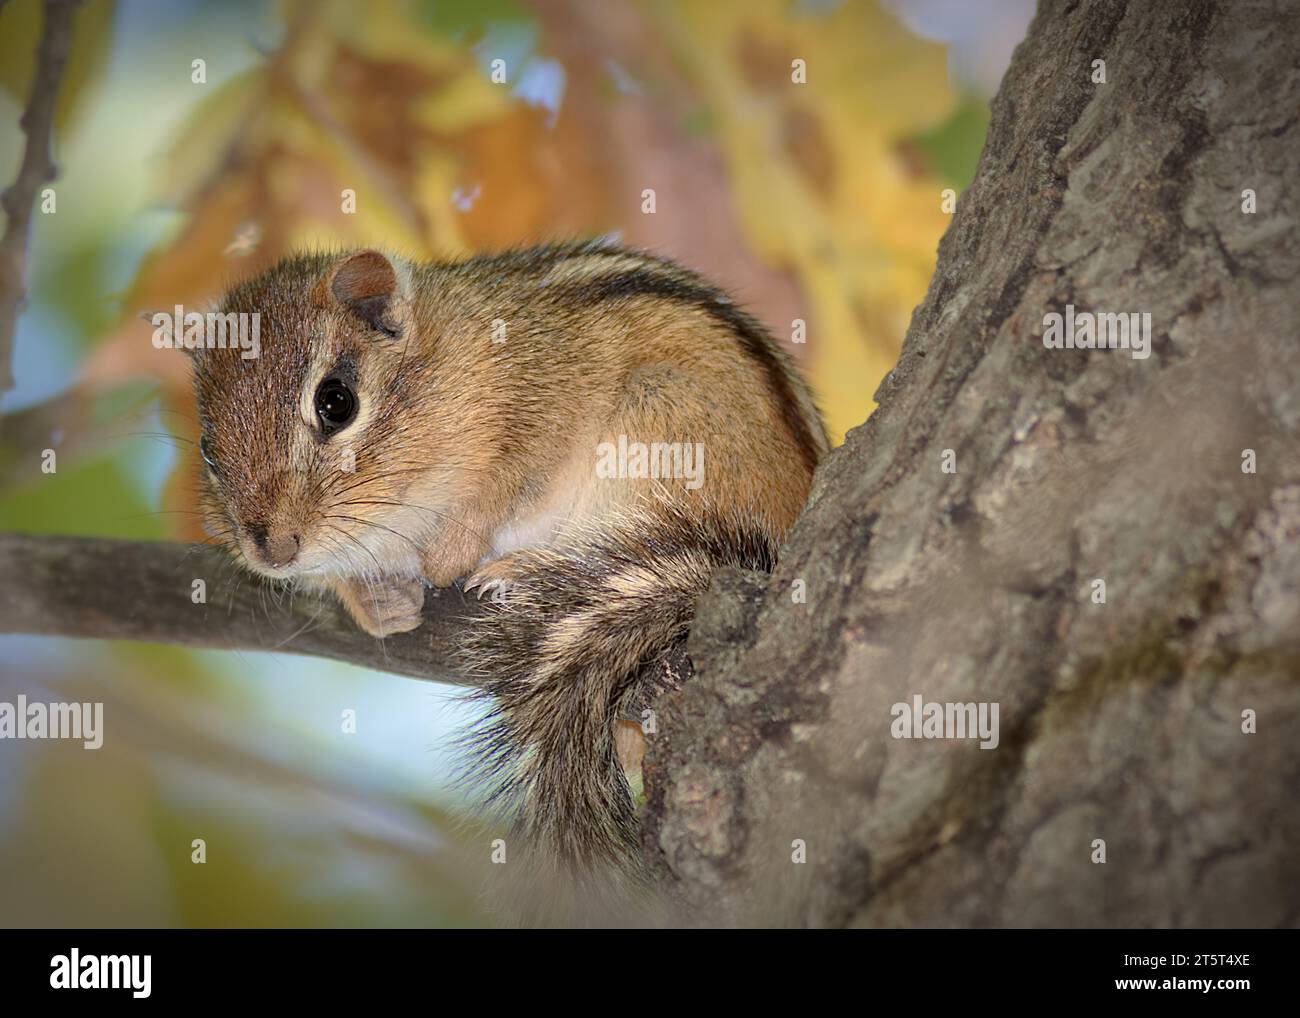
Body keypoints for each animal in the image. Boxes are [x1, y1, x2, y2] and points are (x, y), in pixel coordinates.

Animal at [189, 241, 828, 914]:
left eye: (335, 402)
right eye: (207, 447)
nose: (272, 551)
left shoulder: (542, 406)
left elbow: (507, 485)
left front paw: (448, 557)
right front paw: (379, 601)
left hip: (664, 426)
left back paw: (523, 568)